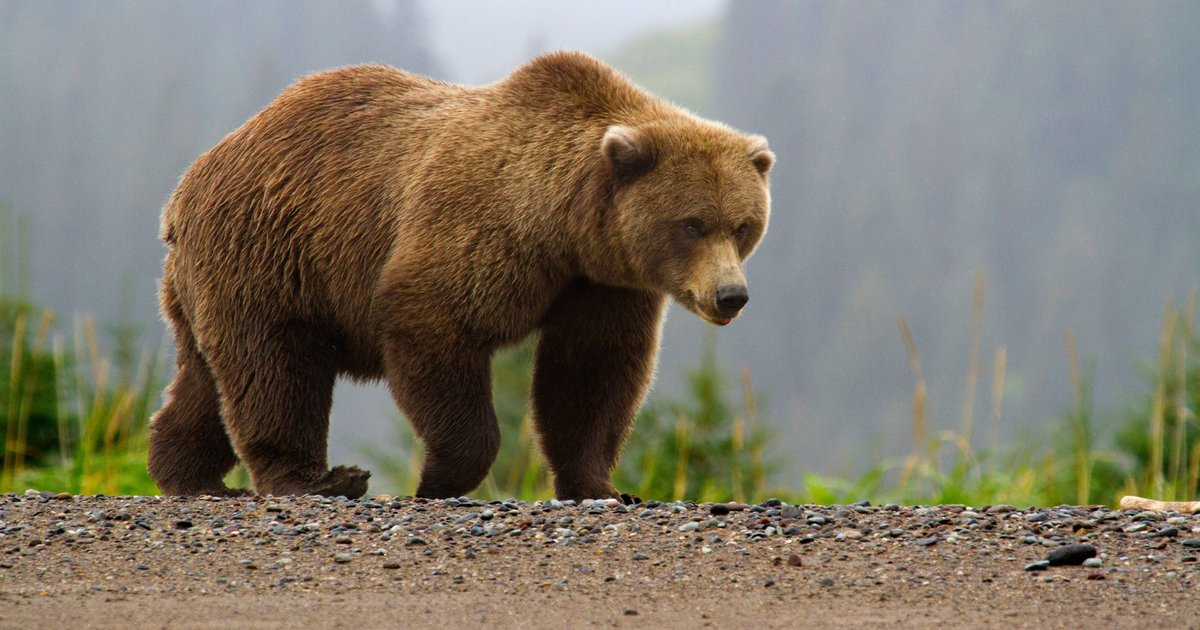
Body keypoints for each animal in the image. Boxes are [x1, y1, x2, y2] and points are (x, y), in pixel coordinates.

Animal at [147, 51, 773, 500]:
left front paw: (602, 486)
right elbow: (435, 326)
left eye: (743, 225)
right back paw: (317, 480)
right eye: (691, 224)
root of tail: (188, 184)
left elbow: (591, 373)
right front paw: (438, 478)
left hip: (213, 279)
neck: (564, 227)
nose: (731, 295)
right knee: (275, 368)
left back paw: (188, 474)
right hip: (272, 252)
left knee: (206, 378)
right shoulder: (479, 229)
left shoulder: (602, 284)